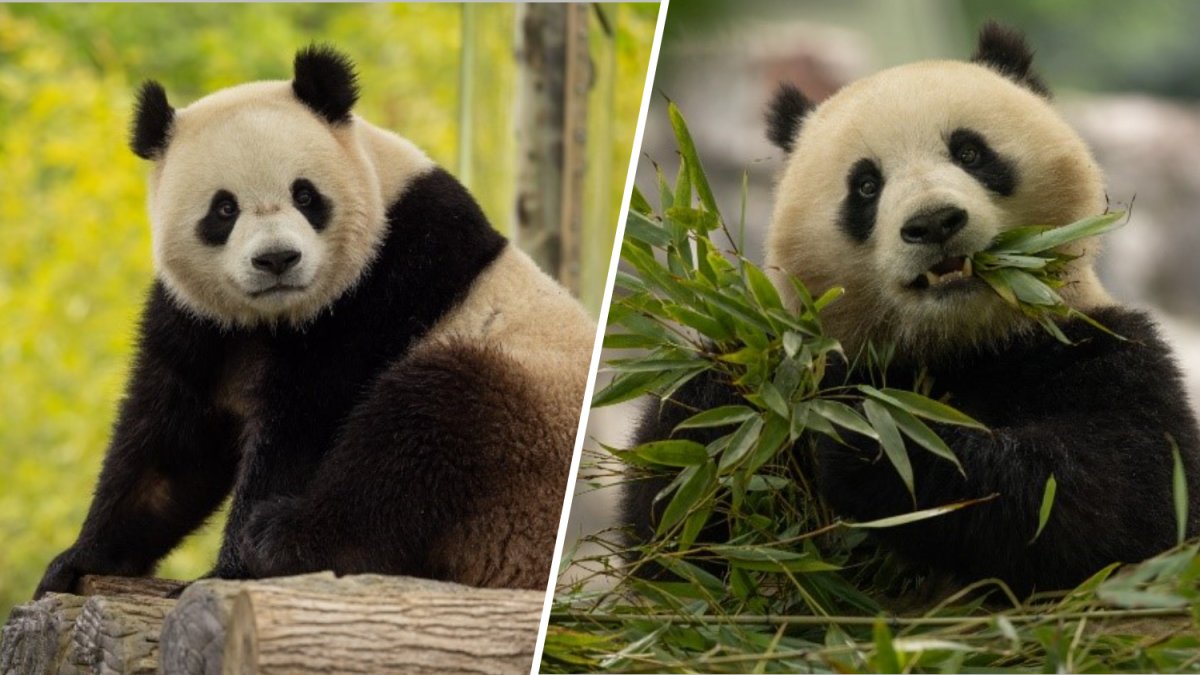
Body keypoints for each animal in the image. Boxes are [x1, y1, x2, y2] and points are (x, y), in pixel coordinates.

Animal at [34, 46, 596, 597]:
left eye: (305, 195)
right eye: (223, 209)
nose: (277, 259)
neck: (275, 317)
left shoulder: (384, 285)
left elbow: (304, 426)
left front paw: (230, 569)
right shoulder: (201, 321)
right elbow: (171, 445)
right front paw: (77, 561)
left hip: (524, 424)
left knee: (426, 428)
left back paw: (284, 538)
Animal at [623, 23, 1200, 594]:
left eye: (970, 153)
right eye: (865, 185)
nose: (934, 222)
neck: (956, 344)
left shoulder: (1100, 348)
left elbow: (1119, 499)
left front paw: (873, 438)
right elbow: (675, 540)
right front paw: (732, 395)